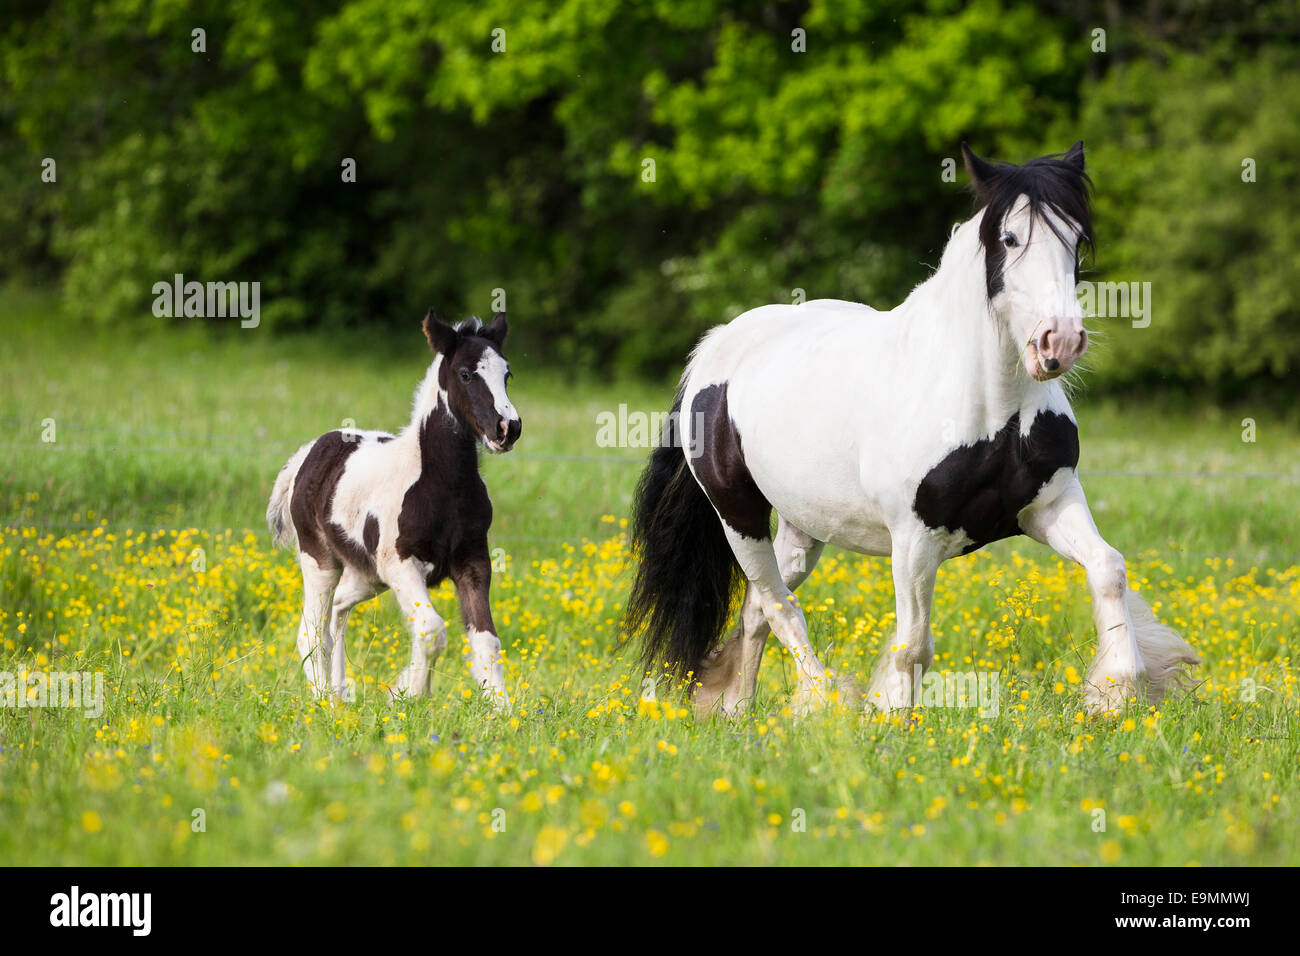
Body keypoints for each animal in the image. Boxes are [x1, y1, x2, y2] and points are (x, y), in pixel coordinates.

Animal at [266, 311, 521, 711]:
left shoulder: (473, 561)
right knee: (311, 631)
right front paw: (409, 693)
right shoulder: (399, 562)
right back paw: (324, 699)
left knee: (338, 611)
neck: (442, 485)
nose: (508, 428)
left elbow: (484, 640)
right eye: (466, 374)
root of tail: (306, 454)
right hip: (320, 560)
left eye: (506, 374)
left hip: (366, 576)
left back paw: (340, 692)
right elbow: (431, 629)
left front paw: (501, 710)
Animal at [624, 141, 1200, 717]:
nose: (1060, 341)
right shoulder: (914, 539)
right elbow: (914, 642)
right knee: (780, 607)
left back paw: (737, 710)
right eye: (1010, 238)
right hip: (738, 516)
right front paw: (894, 715)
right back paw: (821, 703)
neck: (995, 411)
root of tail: (719, 346)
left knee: (756, 612)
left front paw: (1117, 692)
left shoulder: (1049, 505)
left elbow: (1108, 568)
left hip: (802, 527)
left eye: (1076, 238)